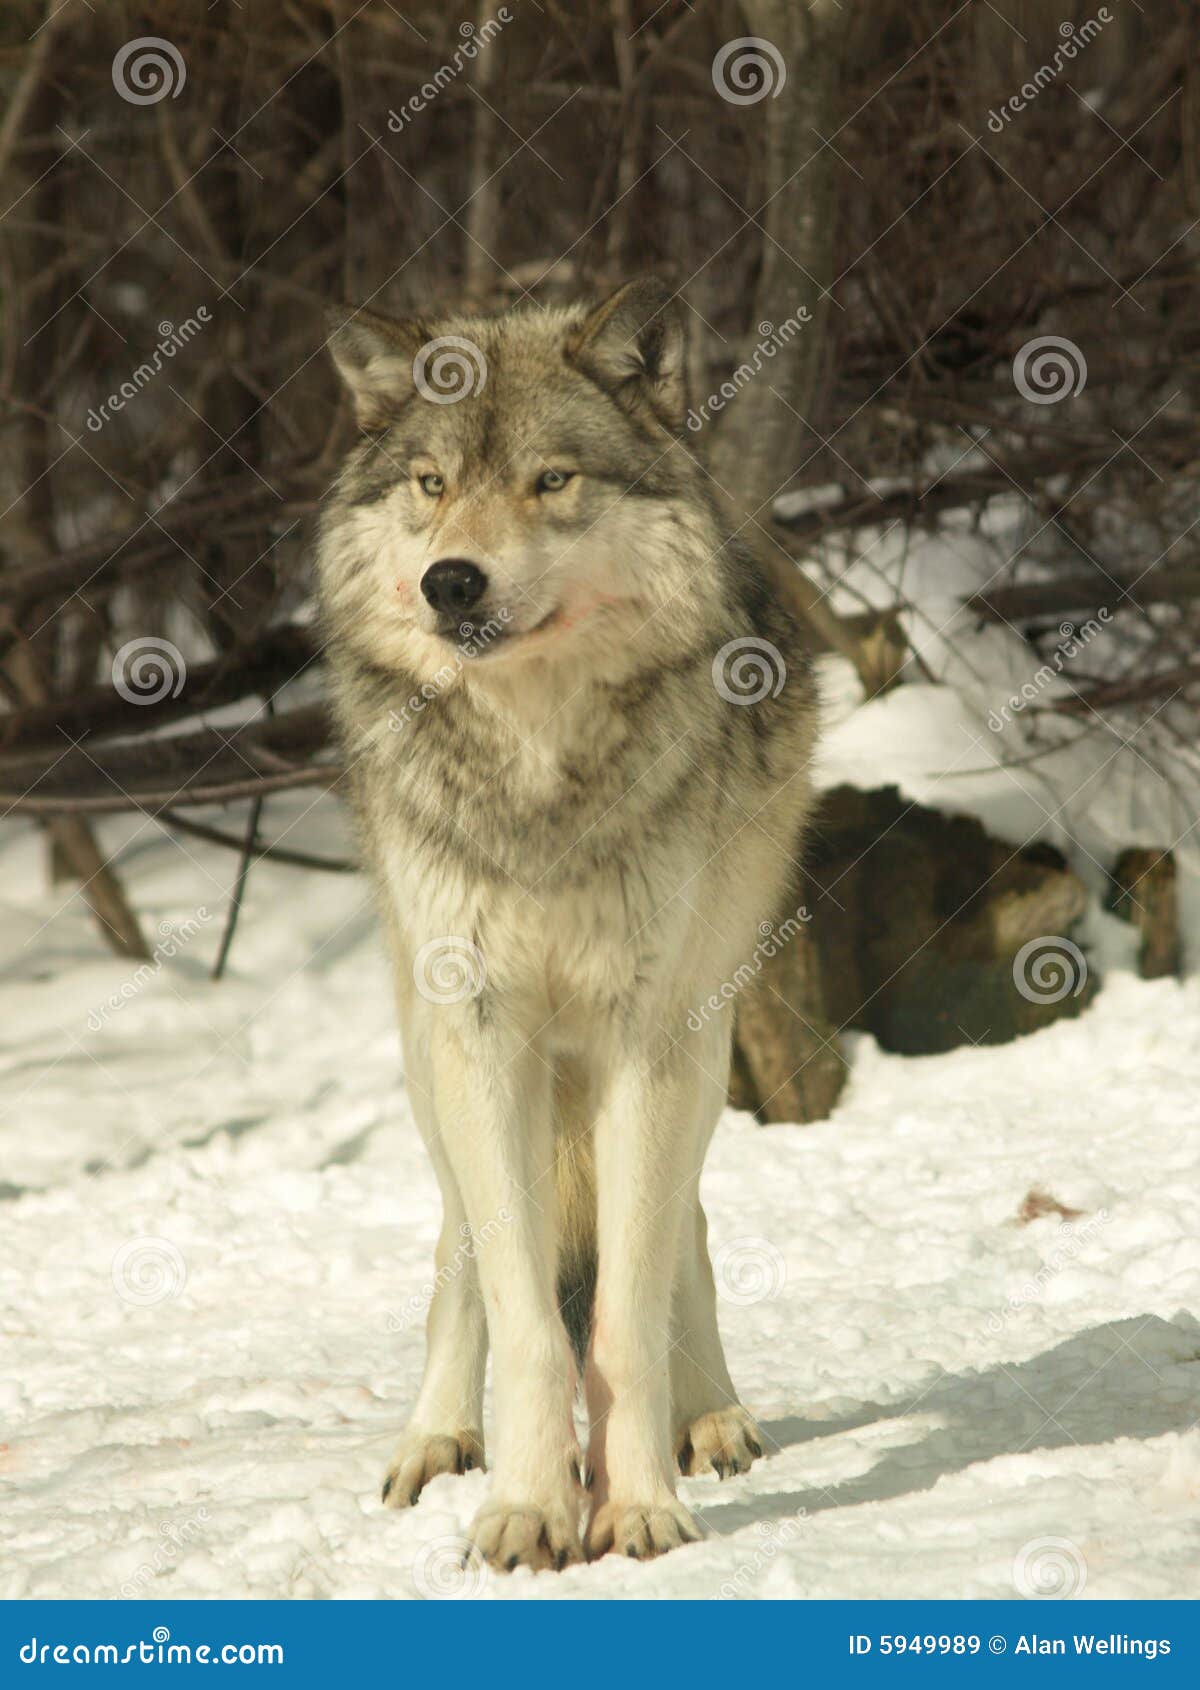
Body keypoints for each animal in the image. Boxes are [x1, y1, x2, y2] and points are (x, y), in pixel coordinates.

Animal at [318, 277, 817, 1571]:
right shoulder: (483, 1033)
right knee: (462, 1256)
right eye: (432, 483)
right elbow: (528, 1314)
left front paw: (635, 1503)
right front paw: (528, 1506)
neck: (537, 763)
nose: (452, 581)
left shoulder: (649, 1035)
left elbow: (626, 1312)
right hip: (429, 1053)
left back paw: (713, 1415)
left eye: (551, 480)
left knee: (683, 1230)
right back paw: (436, 1437)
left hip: (701, 1040)